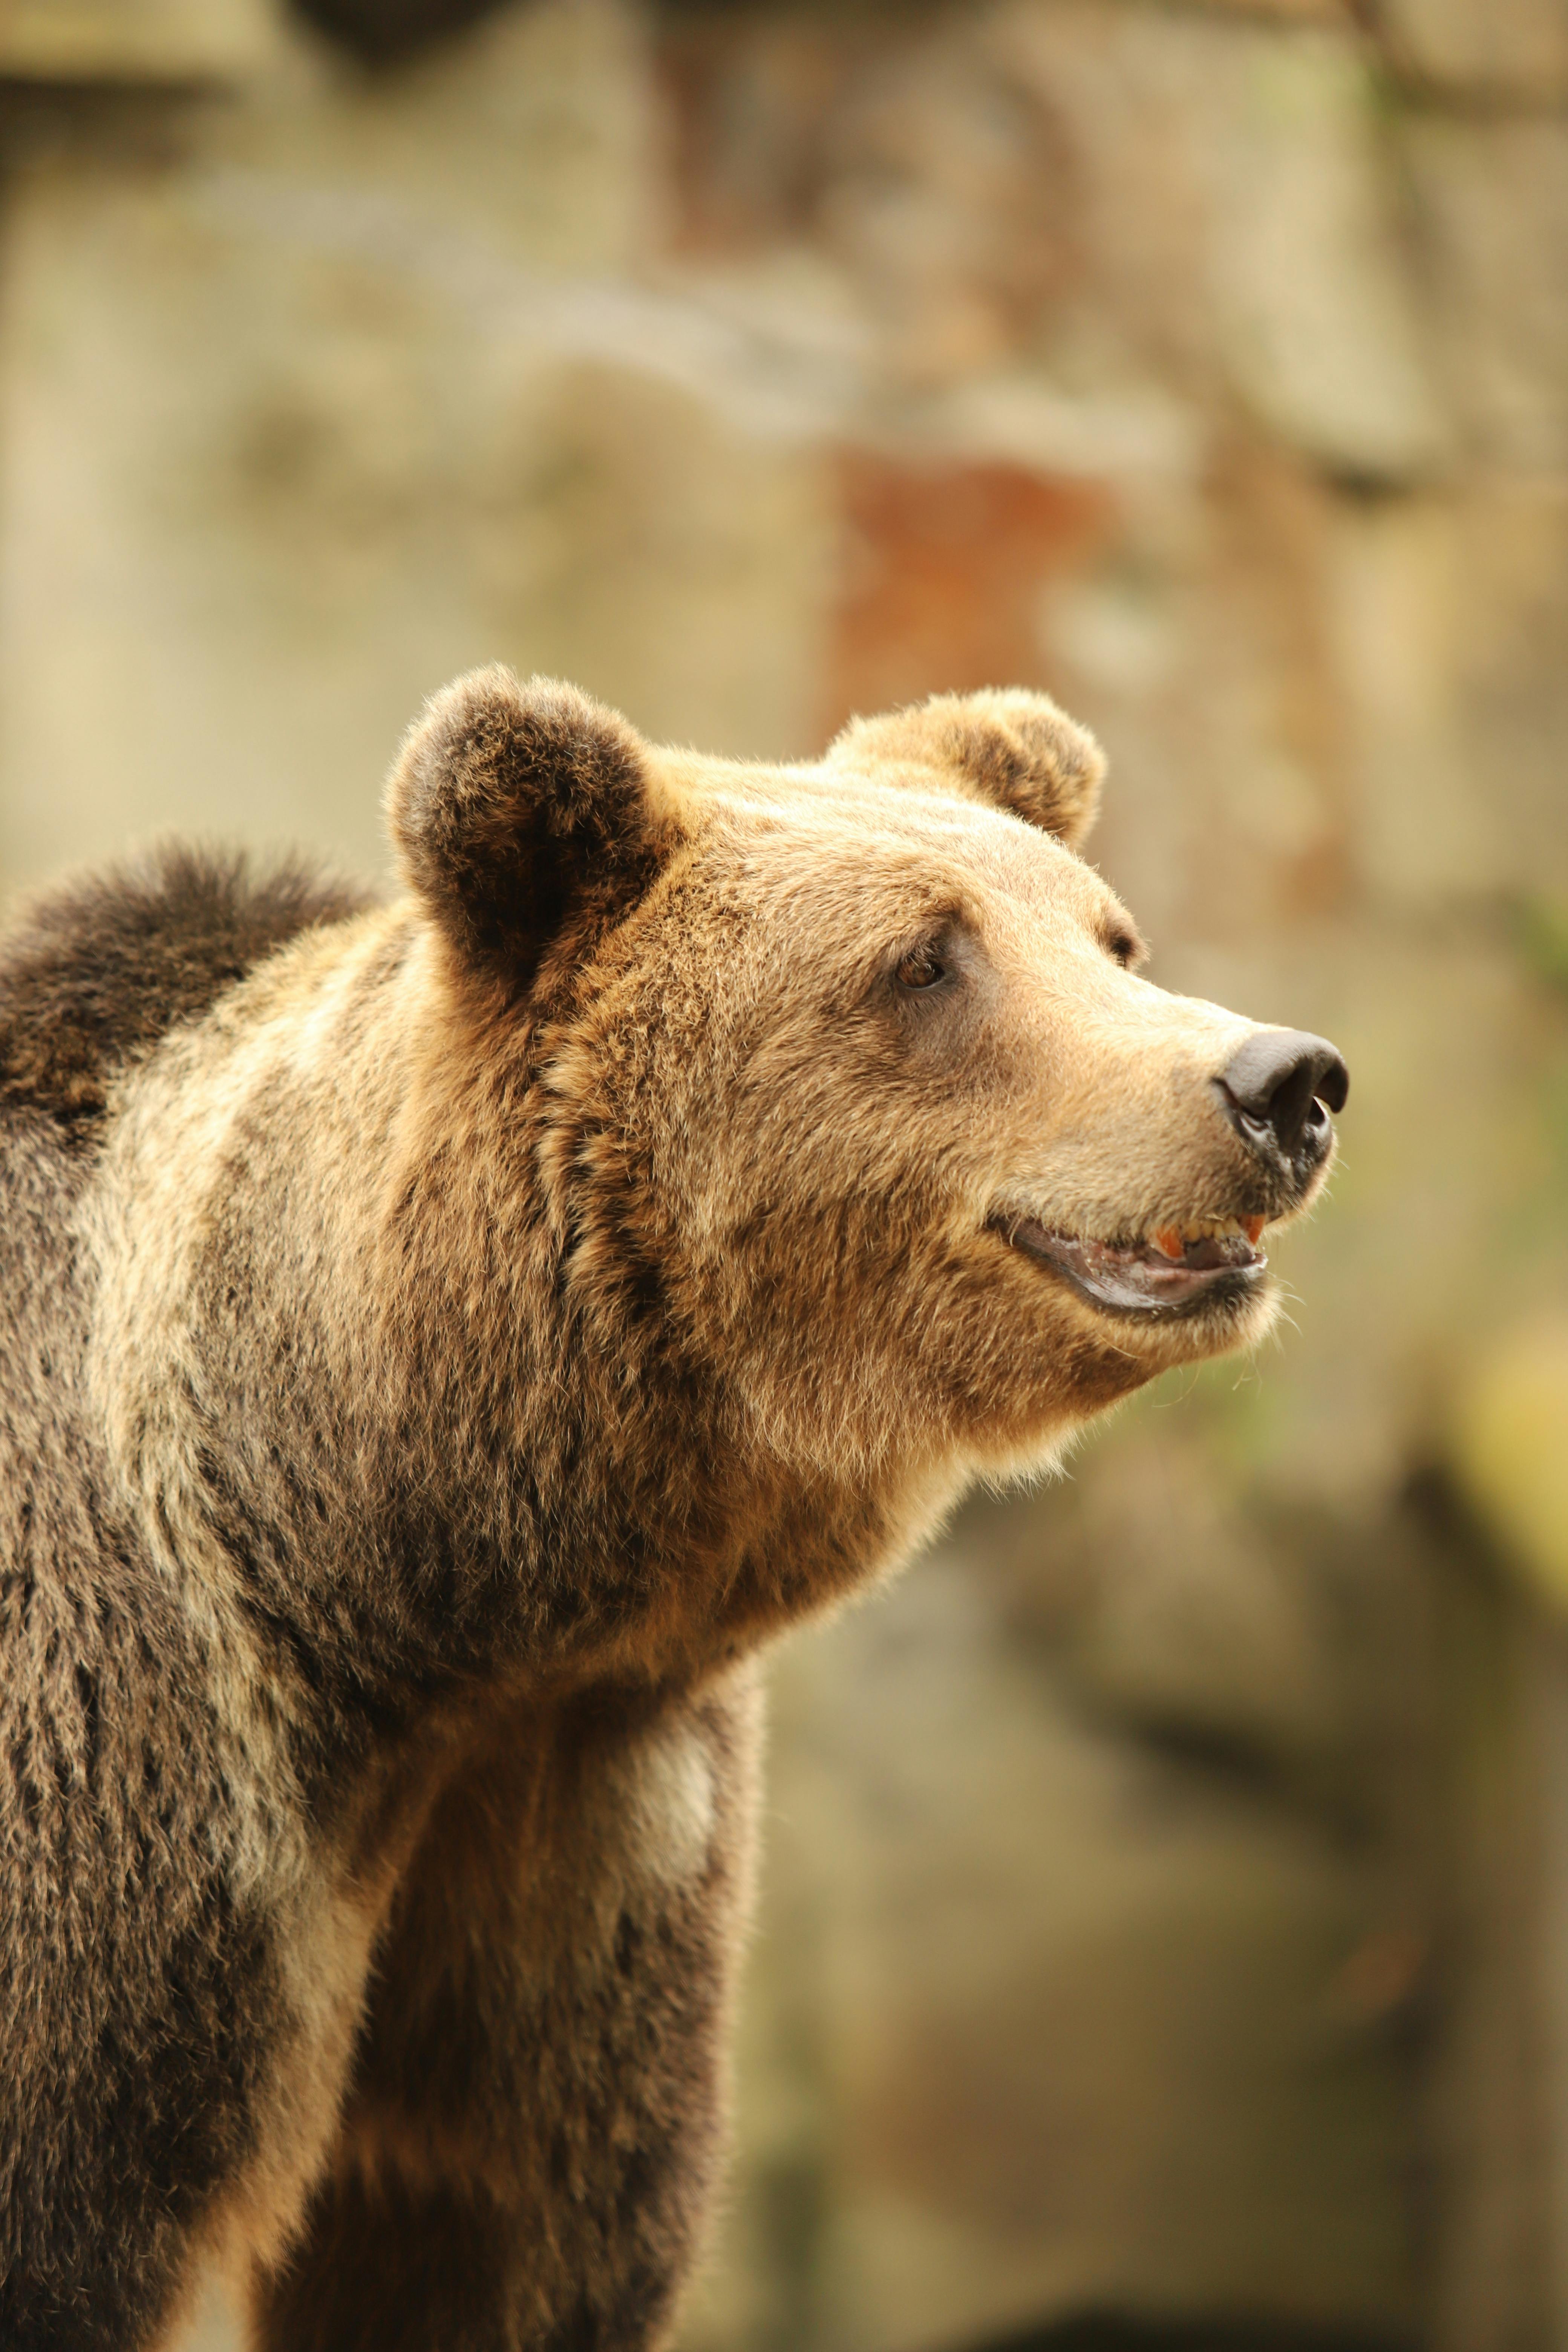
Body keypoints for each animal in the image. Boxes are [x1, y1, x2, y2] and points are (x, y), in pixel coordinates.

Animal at [0, 669, 1347, 2351]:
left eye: (1109, 938)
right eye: (926, 956)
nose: (1279, 1082)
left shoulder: (578, 1832)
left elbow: (499, 2237)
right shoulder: (131, 1811)